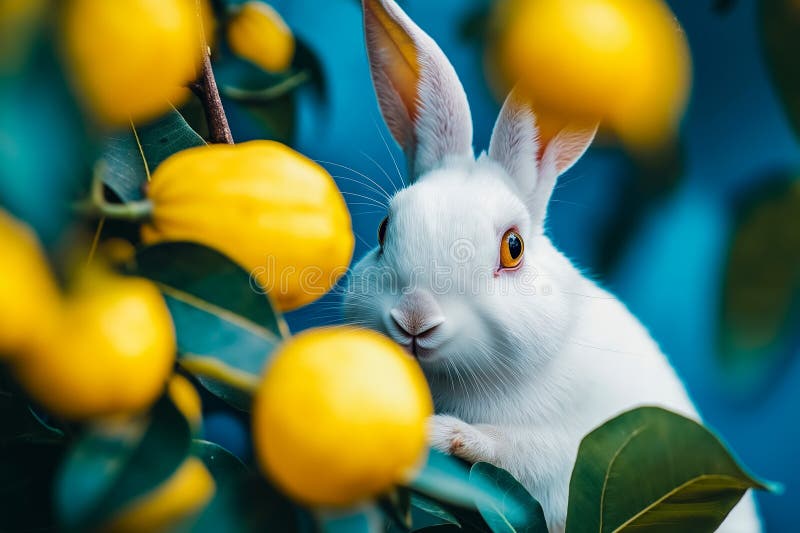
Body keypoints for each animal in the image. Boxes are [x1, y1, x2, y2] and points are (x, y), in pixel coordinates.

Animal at [343, 1, 762, 531]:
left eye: (513, 248)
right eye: (382, 230)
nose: (414, 319)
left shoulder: (572, 451)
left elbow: (528, 453)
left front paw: (447, 434)